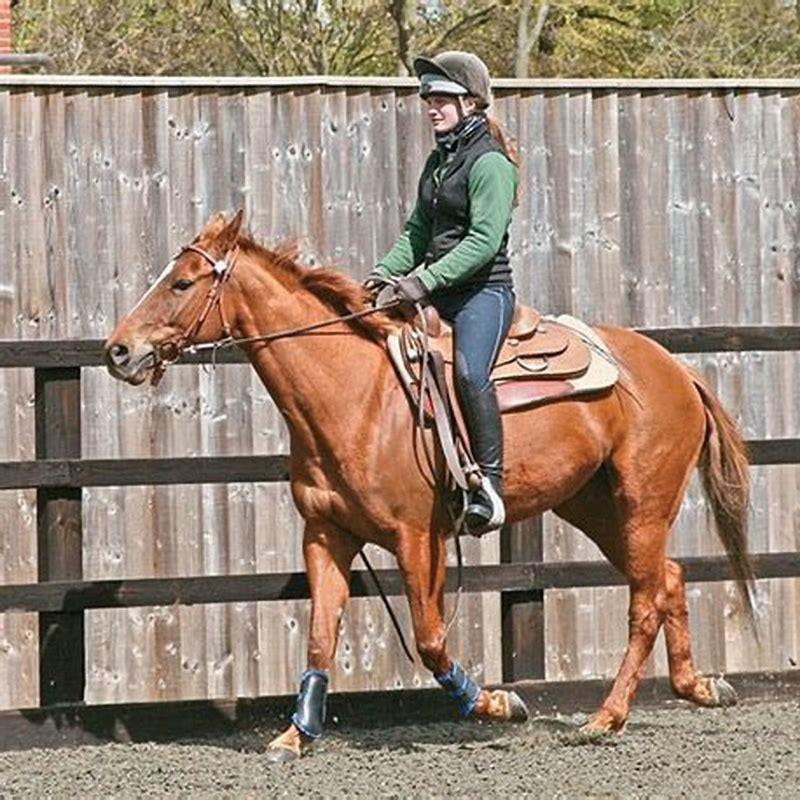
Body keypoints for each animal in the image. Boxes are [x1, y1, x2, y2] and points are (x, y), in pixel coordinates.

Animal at [105, 211, 754, 760]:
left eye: (182, 283)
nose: (118, 351)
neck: (356, 396)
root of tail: (675, 368)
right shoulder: (326, 534)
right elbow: (319, 635)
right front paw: (296, 733)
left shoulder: (419, 539)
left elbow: (430, 639)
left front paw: (497, 703)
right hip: (594, 508)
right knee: (668, 578)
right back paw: (698, 687)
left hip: (641, 505)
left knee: (645, 601)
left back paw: (605, 716)